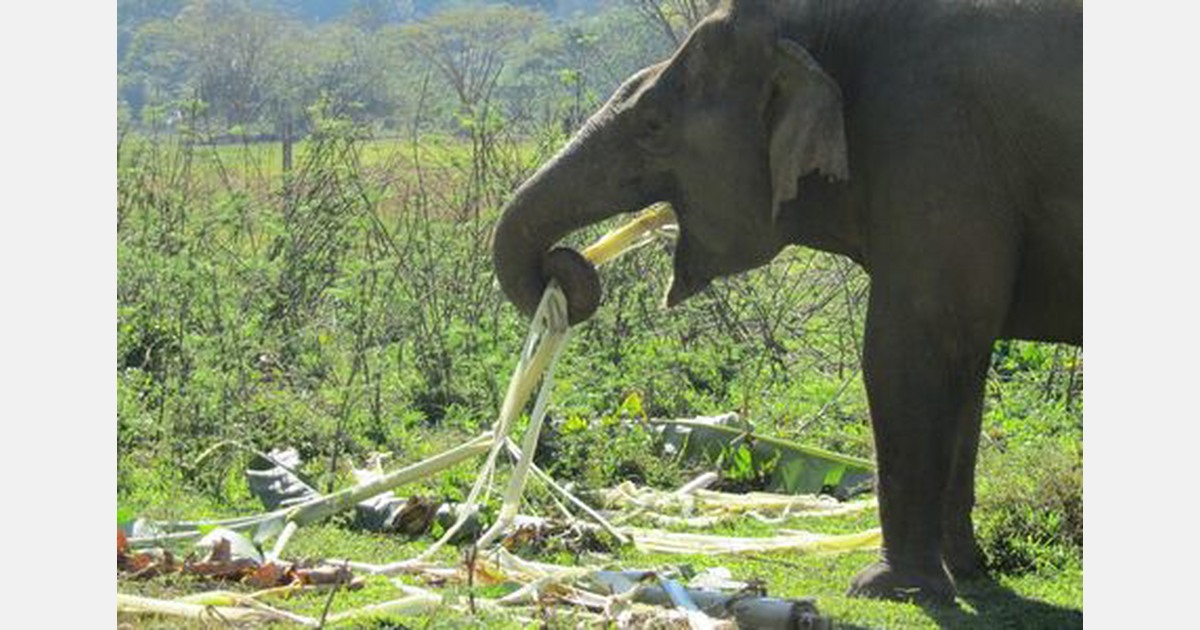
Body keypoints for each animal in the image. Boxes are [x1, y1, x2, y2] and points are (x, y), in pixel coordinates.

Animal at [491, 0, 1081, 604]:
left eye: (653, 126)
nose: (567, 268)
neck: (822, 22)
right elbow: (964, 355)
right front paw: (965, 577)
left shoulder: (933, 145)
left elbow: (907, 351)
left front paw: (886, 588)